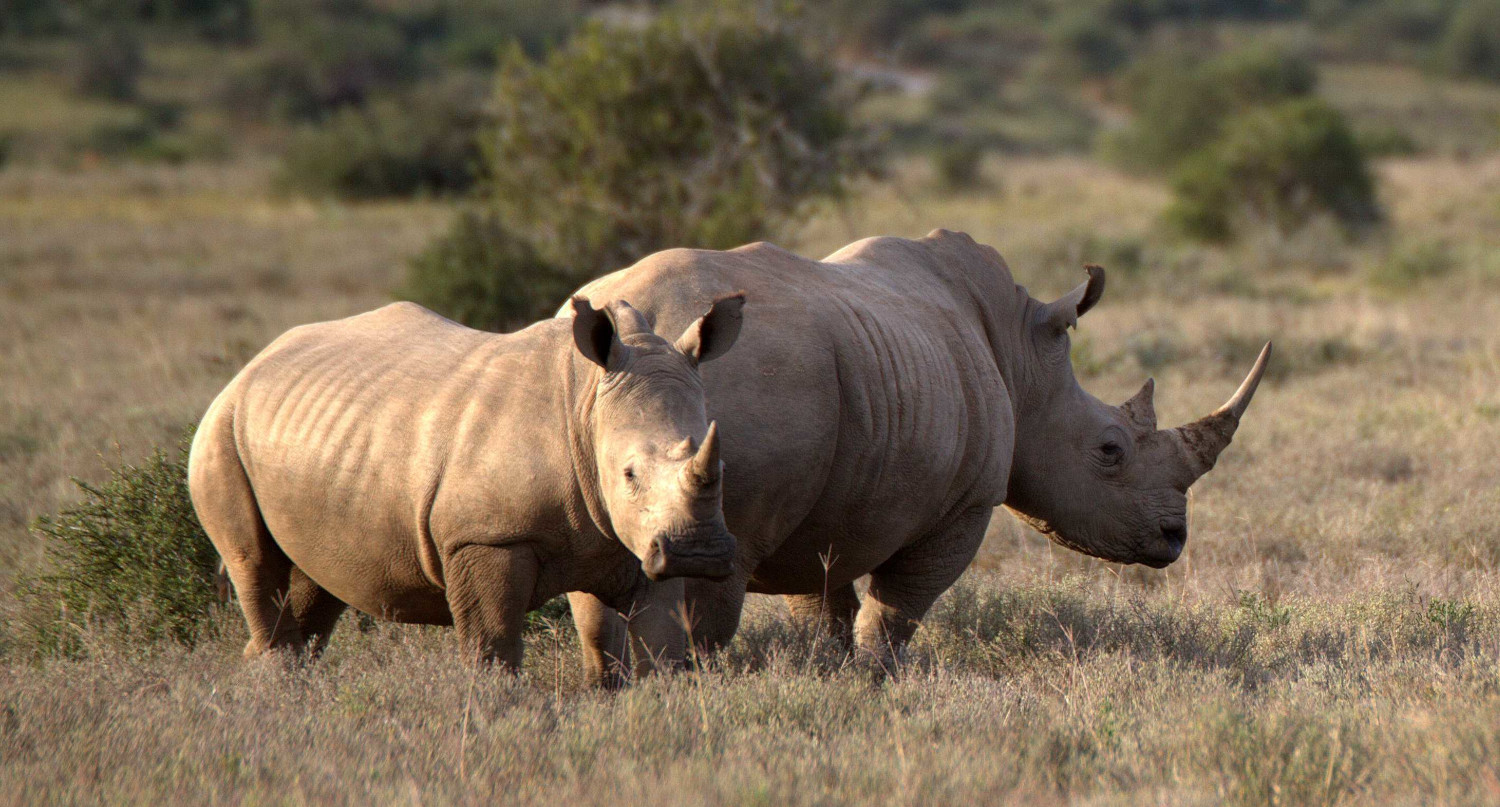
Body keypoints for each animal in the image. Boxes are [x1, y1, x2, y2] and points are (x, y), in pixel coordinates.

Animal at [188, 295, 745, 671]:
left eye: (721, 469)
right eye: (629, 474)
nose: (698, 553)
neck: (587, 404)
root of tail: (249, 367)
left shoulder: (639, 540)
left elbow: (659, 647)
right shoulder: (485, 536)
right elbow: (492, 646)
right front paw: (497, 717)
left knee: (312, 587)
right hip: (220, 431)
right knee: (255, 566)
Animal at [565, 230, 1269, 676]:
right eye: (1110, 450)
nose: (1174, 538)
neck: (1024, 358)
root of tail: (645, 324)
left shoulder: (827, 507)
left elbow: (823, 608)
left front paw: (832, 677)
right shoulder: (965, 506)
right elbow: (895, 614)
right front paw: (877, 683)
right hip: (742, 390)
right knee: (709, 584)